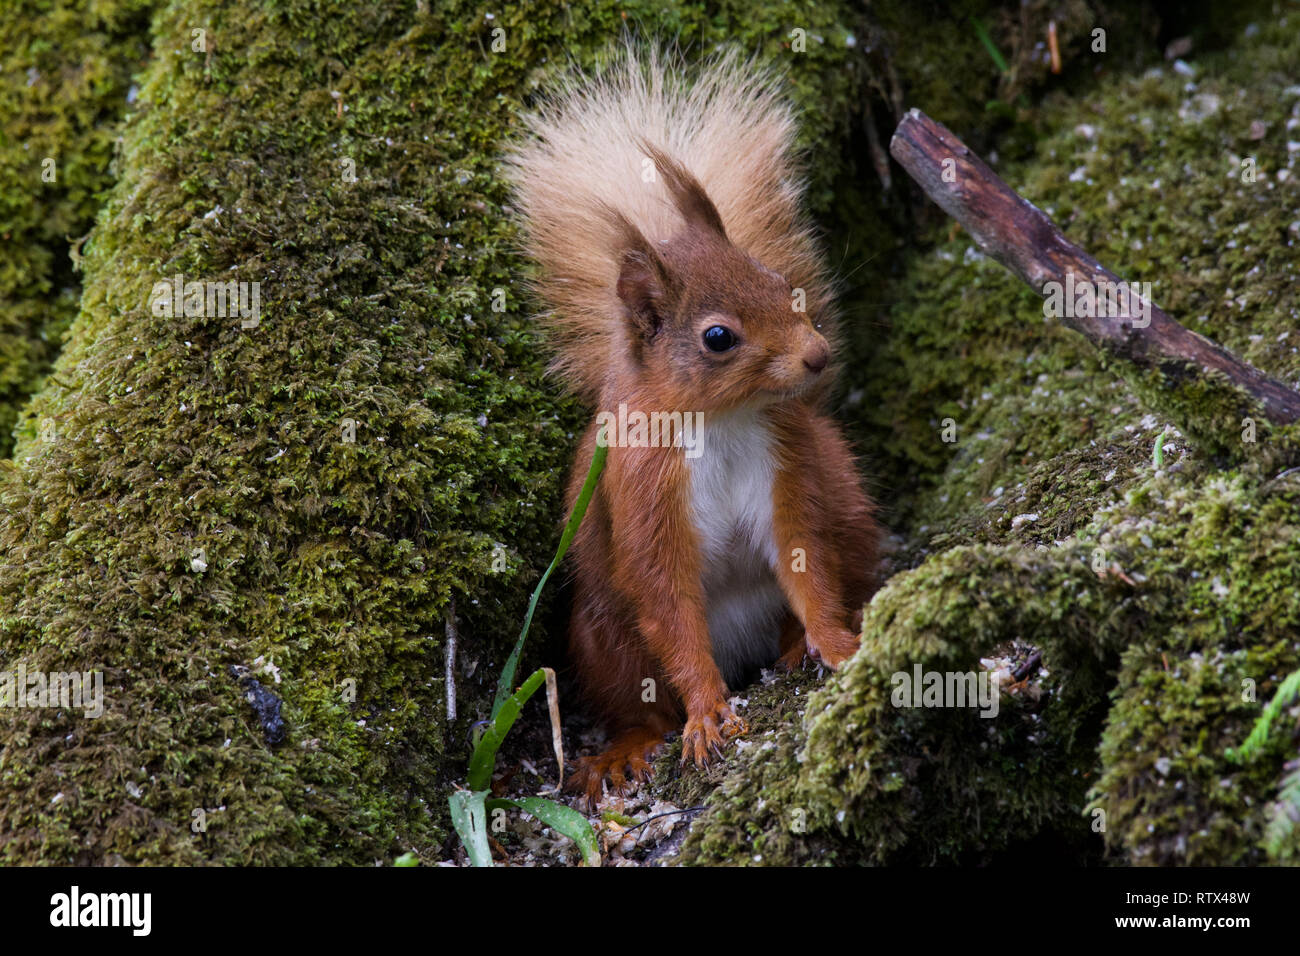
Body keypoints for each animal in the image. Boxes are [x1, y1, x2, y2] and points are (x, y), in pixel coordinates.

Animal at [504, 47, 881, 806]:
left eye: (779, 282)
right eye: (717, 337)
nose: (817, 356)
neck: (722, 421)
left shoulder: (786, 461)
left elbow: (806, 557)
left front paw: (832, 642)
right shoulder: (645, 491)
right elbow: (669, 603)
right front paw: (707, 713)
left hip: (849, 512)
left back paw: (790, 648)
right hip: (603, 634)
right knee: (637, 700)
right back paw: (627, 748)